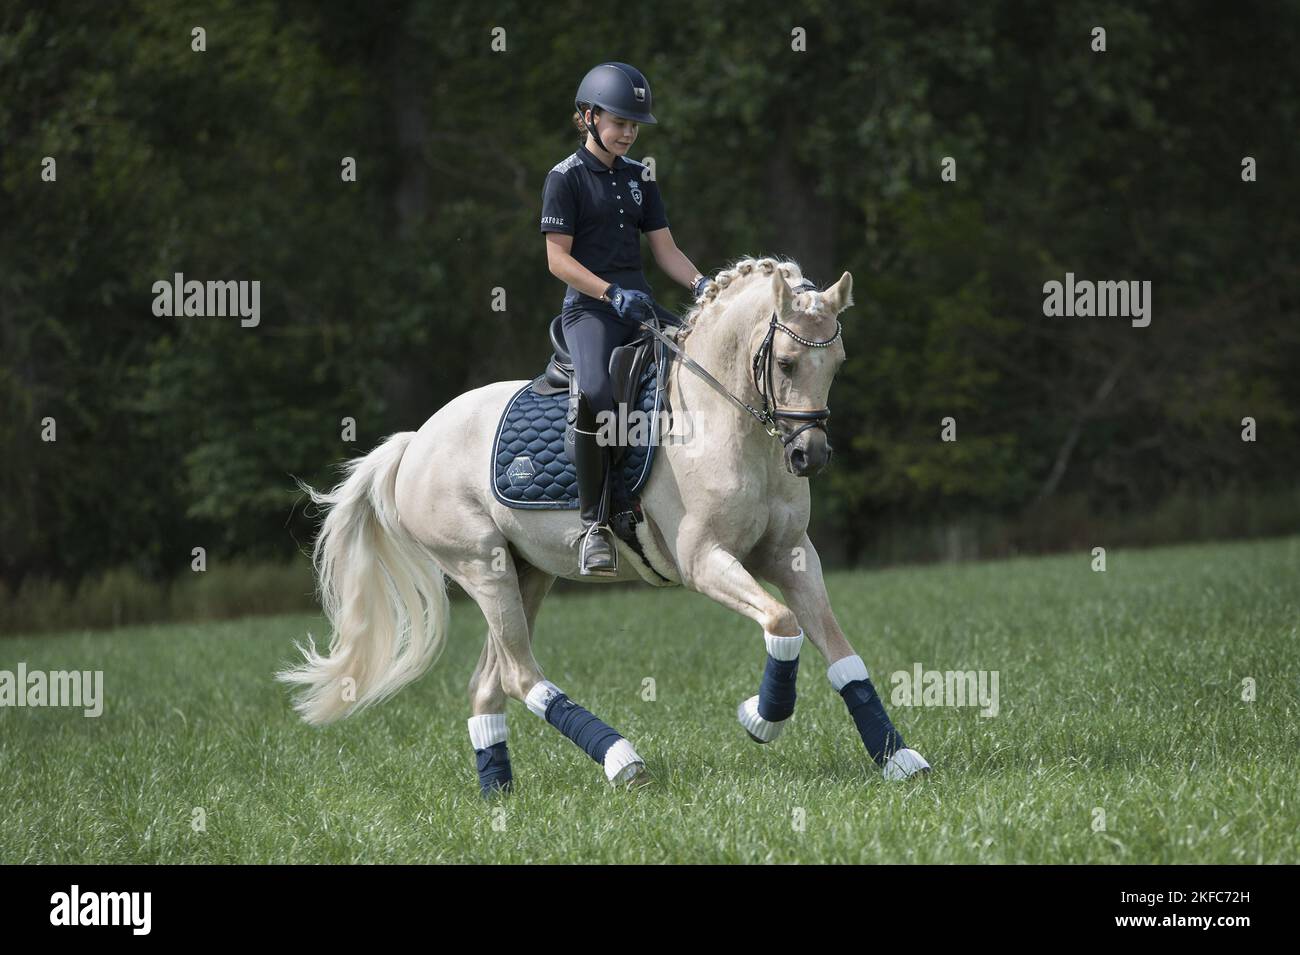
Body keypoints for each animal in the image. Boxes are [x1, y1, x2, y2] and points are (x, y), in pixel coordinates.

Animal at [278, 256, 930, 793]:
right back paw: (621, 759)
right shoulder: (704, 561)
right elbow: (782, 624)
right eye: (789, 362)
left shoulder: (792, 555)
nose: (809, 456)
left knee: (489, 681)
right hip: (481, 566)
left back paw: (498, 793)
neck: (727, 423)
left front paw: (898, 759)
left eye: (837, 363)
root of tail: (416, 442)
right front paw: (761, 719)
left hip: (526, 573)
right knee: (519, 674)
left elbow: (841, 653)